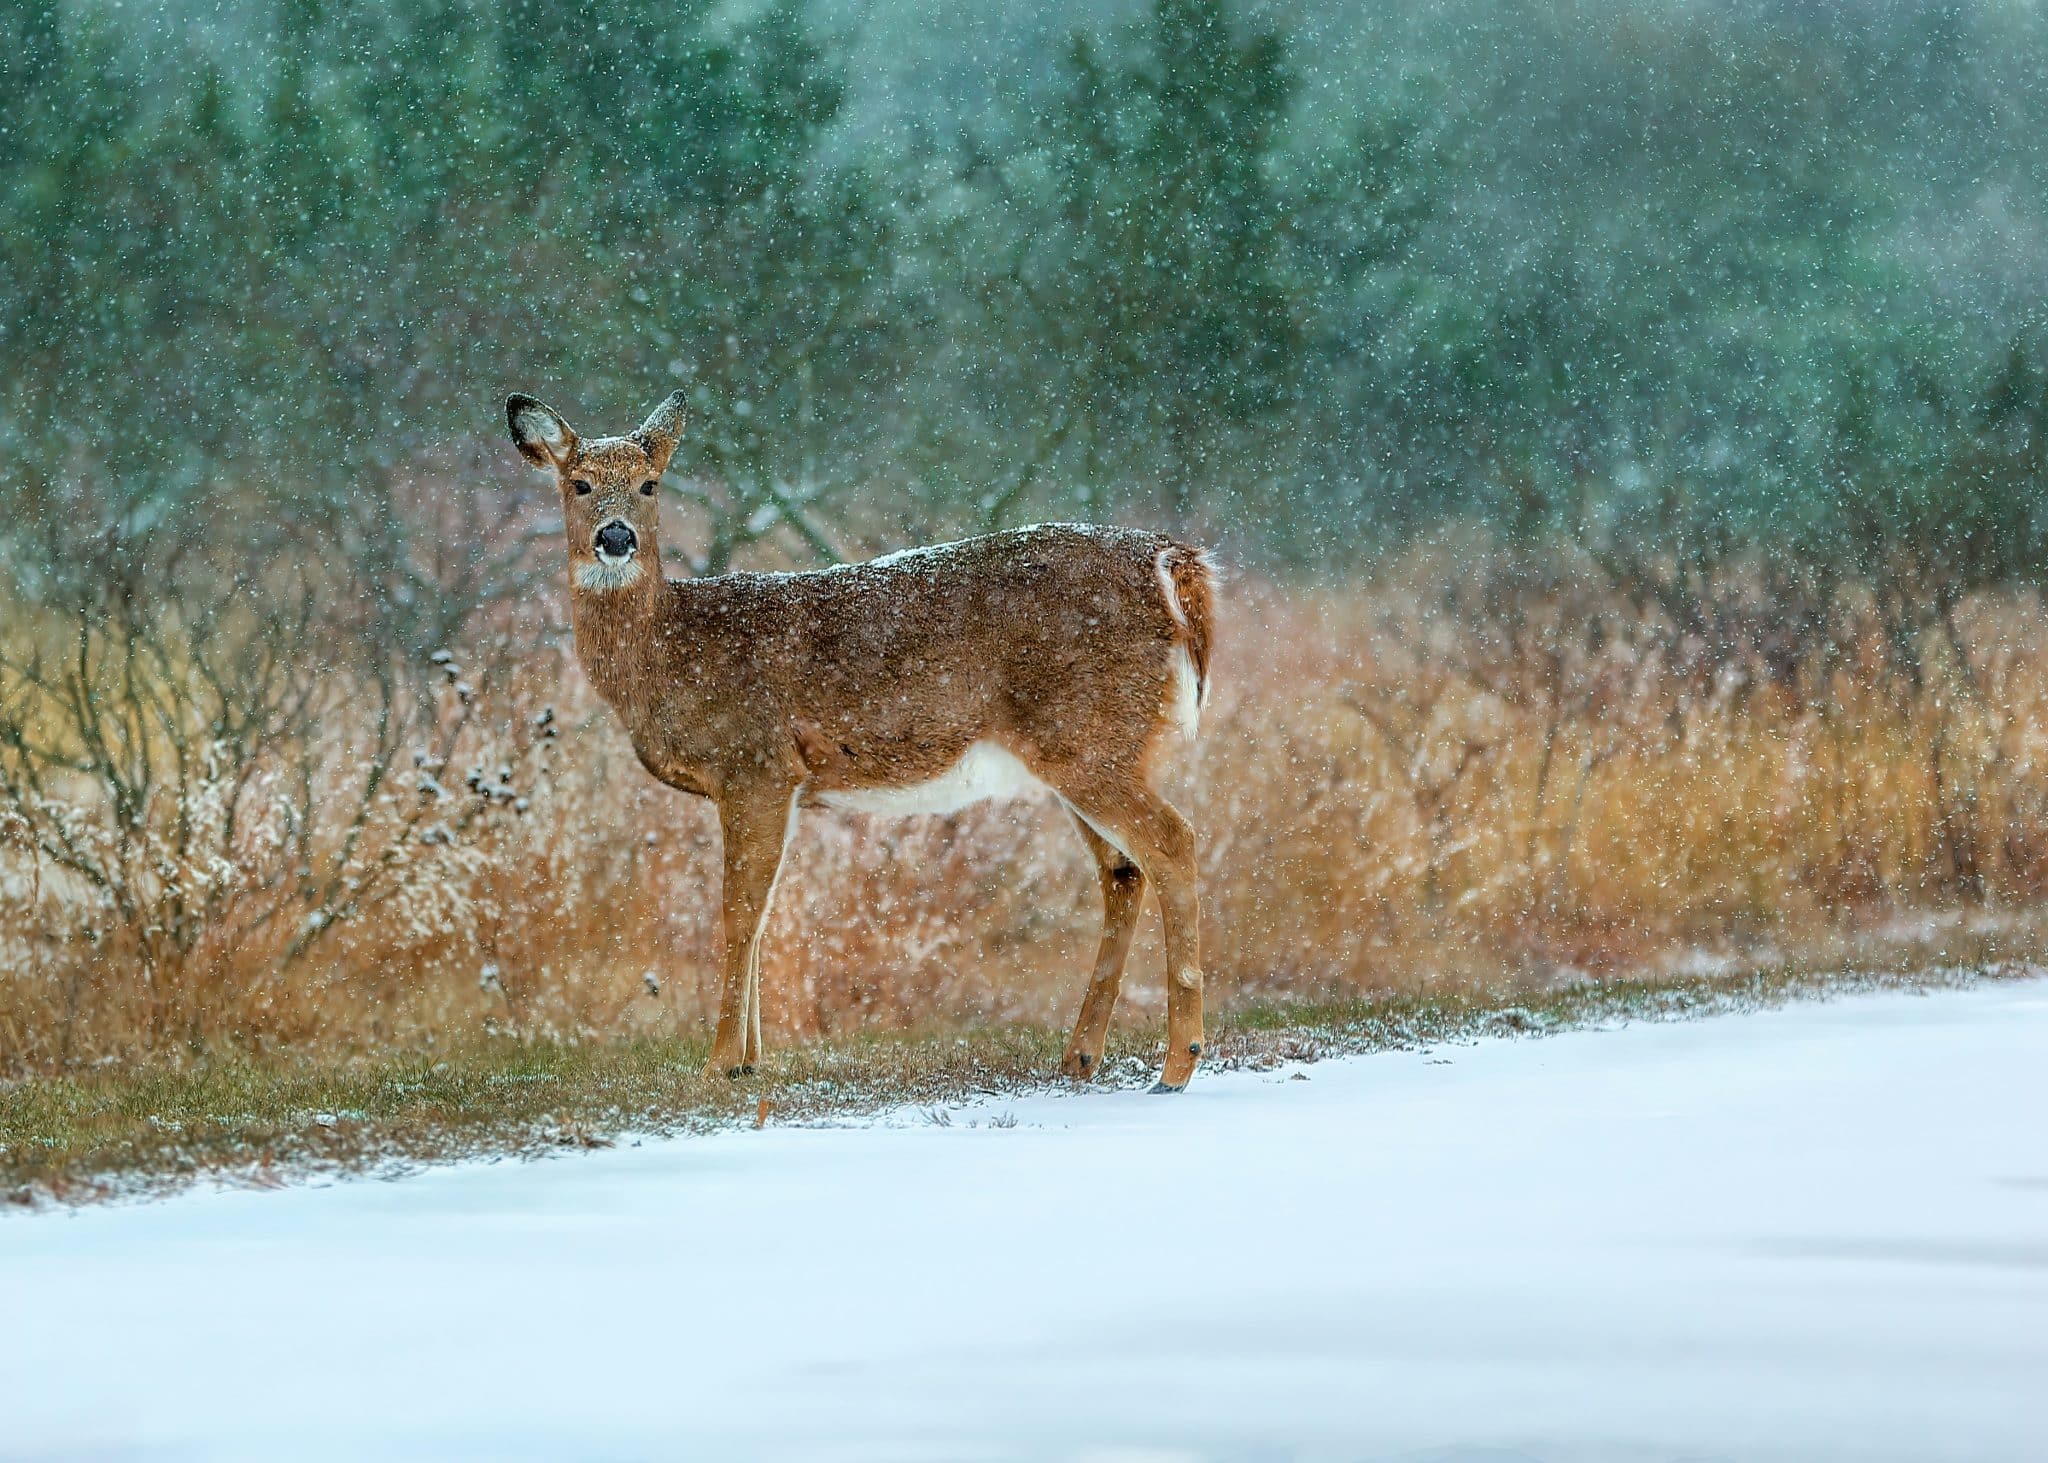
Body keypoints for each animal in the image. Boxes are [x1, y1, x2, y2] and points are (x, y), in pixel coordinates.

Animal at [507, 391, 1217, 1091]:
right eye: (578, 483)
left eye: (650, 484)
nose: (616, 536)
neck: (668, 654)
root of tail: (1173, 563)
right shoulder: (778, 785)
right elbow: (764, 911)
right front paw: (750, 1062)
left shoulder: (753, 763)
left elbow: (739, 913)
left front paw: (719, 1064)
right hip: (1086, 748)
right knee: (1123, 870)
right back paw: (1081, 1054)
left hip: (1089, 738)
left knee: (1171, 840)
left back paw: (1177, 1063)